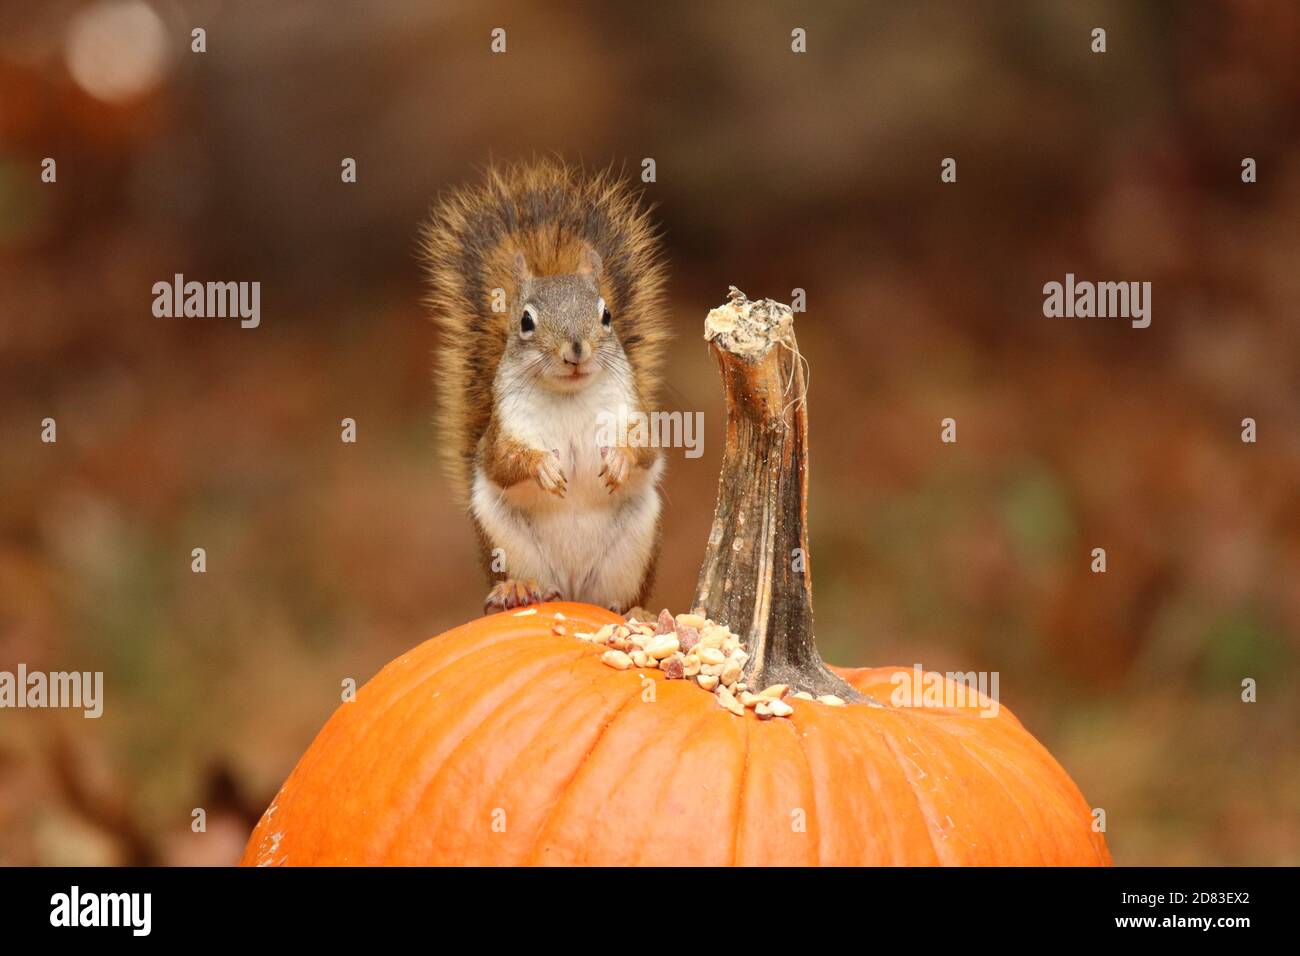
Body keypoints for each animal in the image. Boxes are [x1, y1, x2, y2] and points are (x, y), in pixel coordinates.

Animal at [420, 159, 670, 615]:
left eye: (606, 315)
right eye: (525, 321)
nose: (576, 350)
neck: (569, 397)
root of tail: (570, 591)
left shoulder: (632, 412)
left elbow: (645, 449)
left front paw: (619, 461)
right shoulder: (505, 426)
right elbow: (504, 460)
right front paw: (544, 468)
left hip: (635, 545)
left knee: (622, 598)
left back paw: (634, 611)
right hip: (504, 539)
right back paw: (518, 590)